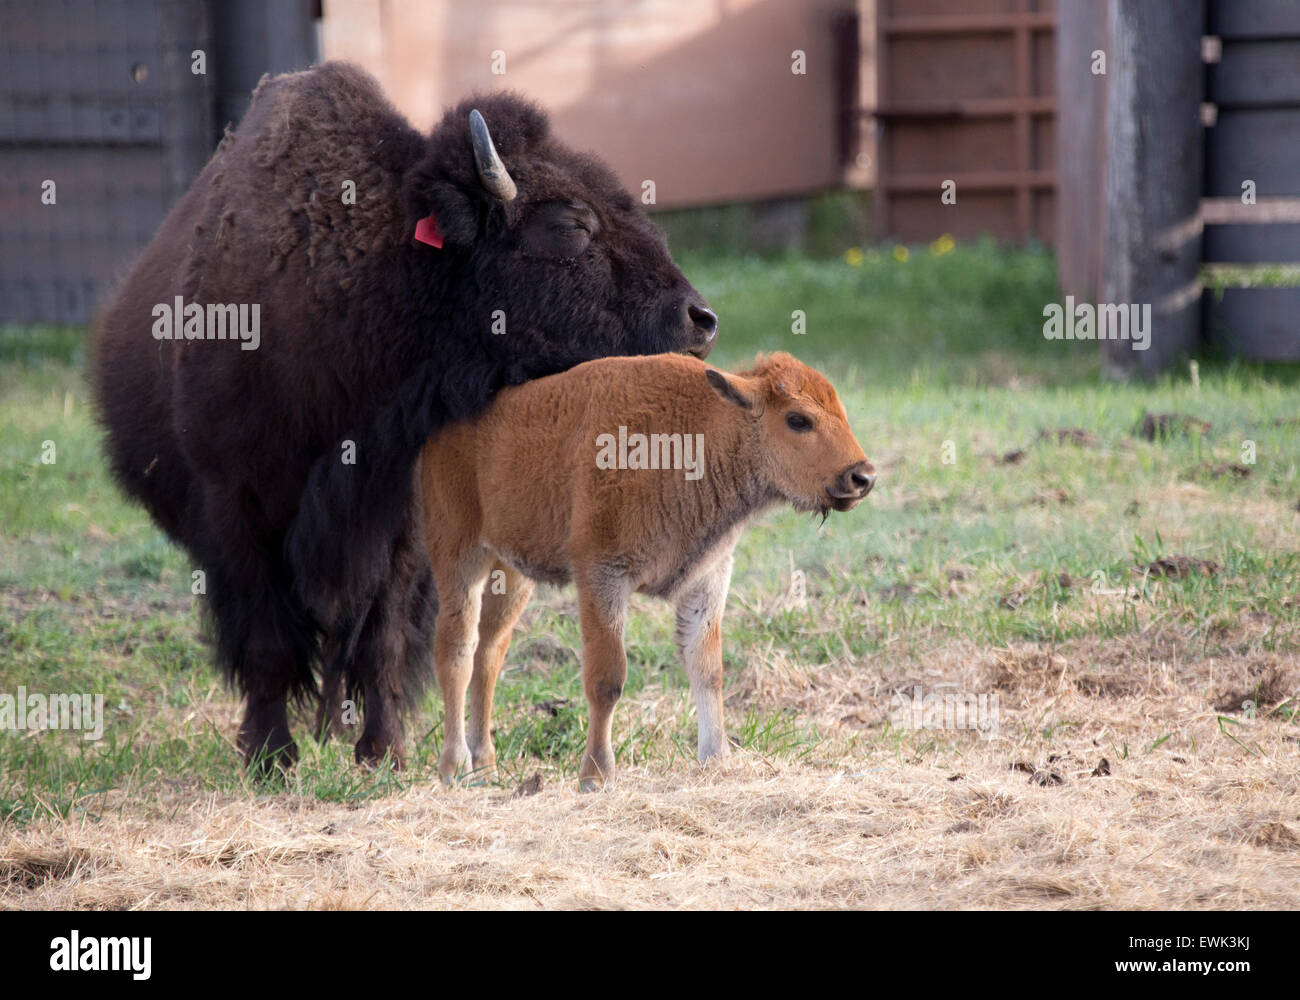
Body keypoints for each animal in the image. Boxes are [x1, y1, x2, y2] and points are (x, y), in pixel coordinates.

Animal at [90, 62, 717, 772]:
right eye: (568, 225)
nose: (699, 319)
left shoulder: (402, 522)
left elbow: (385, 639)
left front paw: (384, 752)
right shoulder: (236, 507)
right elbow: (267, 644)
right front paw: (272, 757)